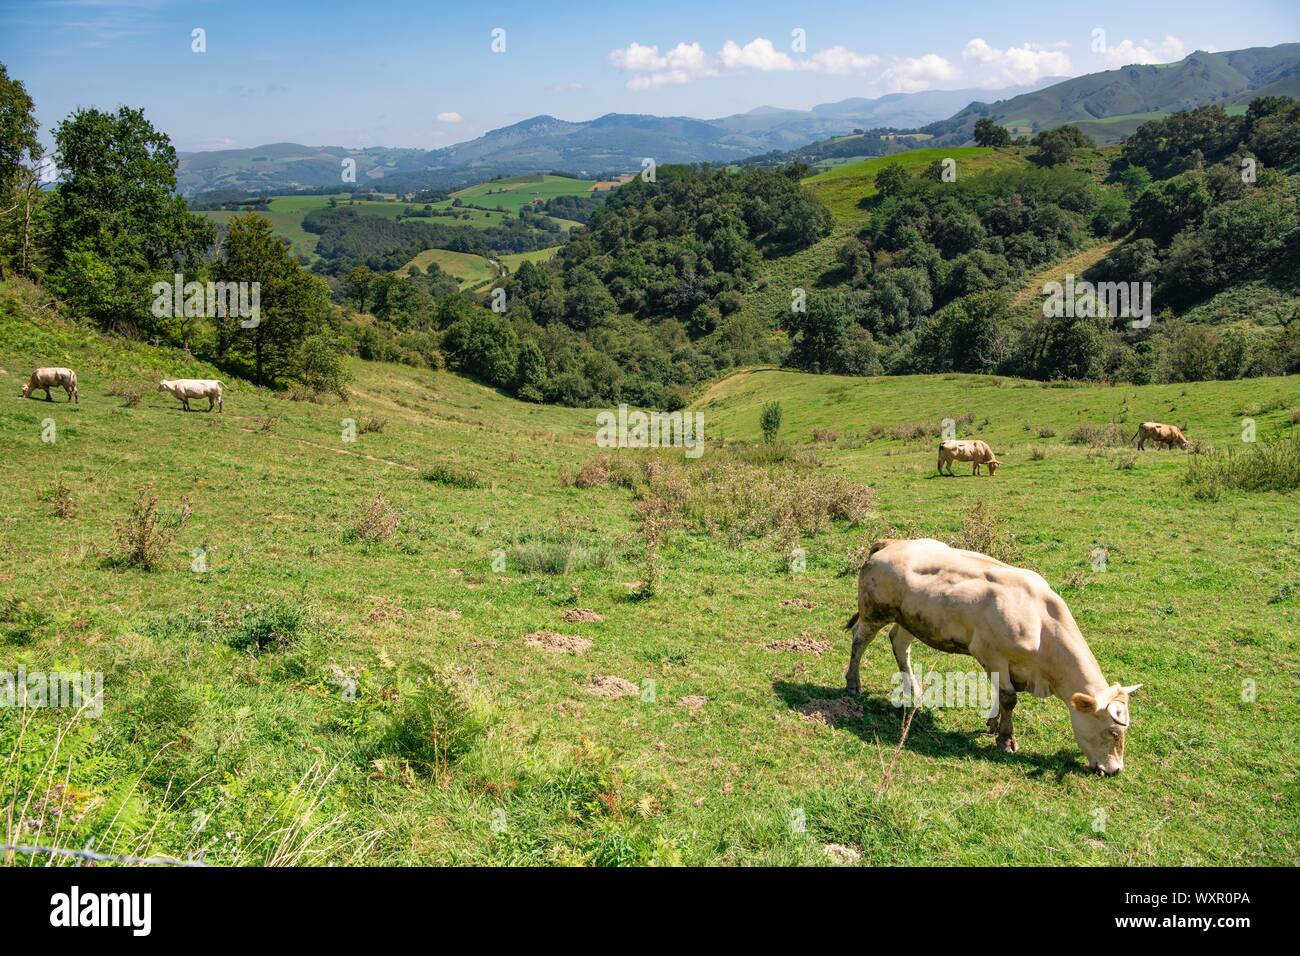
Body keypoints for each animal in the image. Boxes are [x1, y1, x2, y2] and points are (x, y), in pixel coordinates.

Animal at [844, 538, 1140, 775]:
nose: (1116, 769)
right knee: (859, 640)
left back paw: (914, 691)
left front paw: (993, 724)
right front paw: (1006, 740)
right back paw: (853, 683)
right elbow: (1009, 697)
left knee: (900, 645)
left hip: (910, 619)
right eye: (1113, 731)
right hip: (873, 611)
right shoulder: (990, 653)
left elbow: (1000, 694)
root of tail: (891, 542)